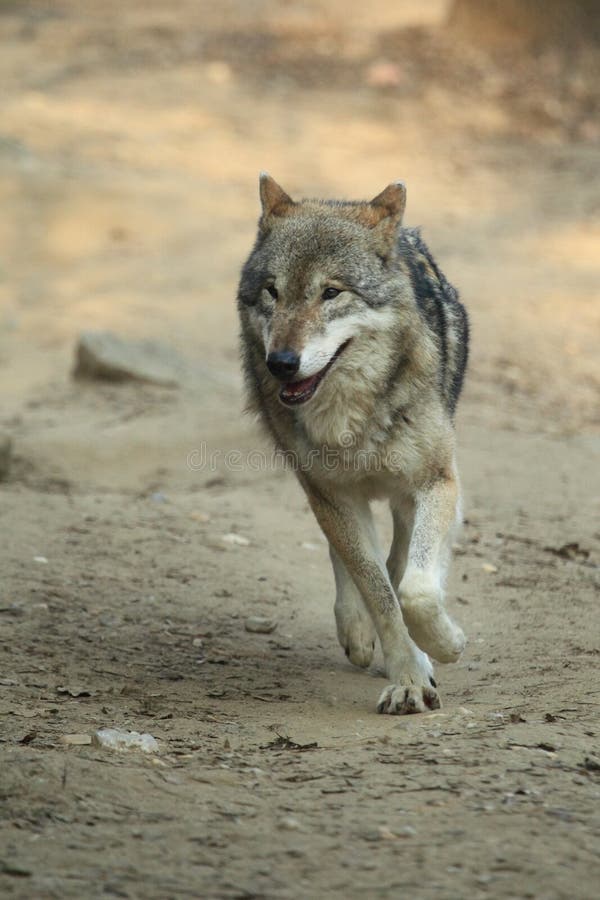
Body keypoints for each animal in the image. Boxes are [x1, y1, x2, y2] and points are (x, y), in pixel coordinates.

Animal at [237, 174, 469, 715]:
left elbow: (415, 589)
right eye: (273, 291)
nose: (281, 363)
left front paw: (445, 645)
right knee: (349, 559)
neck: (353, 418)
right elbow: (379, 591)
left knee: (401, 563)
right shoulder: (333, 493)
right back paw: (358, 631)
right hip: (320, 489)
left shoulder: (435, 482)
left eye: (331, 293)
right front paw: (409, 676)